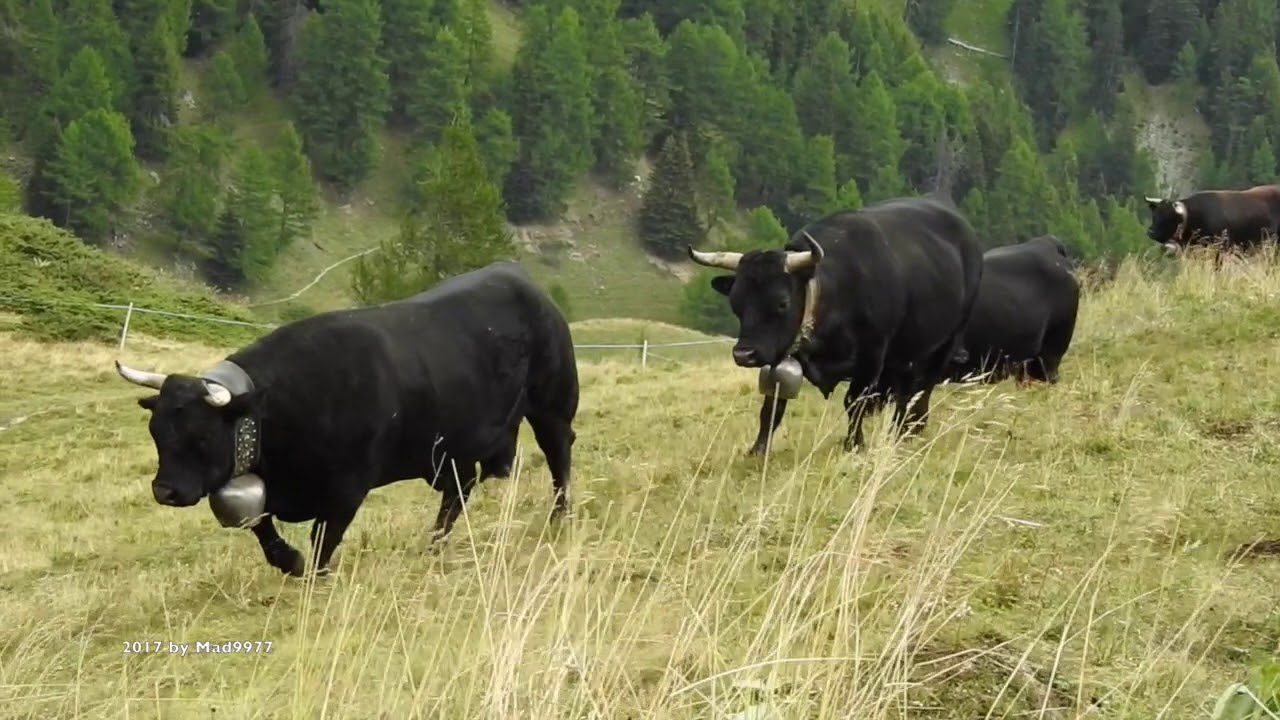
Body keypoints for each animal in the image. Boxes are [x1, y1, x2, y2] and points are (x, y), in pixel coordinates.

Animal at [114, 261, 580, 578]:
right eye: (157, 433)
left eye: (202, 435)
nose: (164, 490)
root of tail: (515, 273)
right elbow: (260, 525)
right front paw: (289, 561)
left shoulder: (346, 489)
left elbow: (324, 539)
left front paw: (314, 575)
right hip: (452, 448)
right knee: (459, 491)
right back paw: (433, 544)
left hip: (553, 407)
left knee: (558, 458)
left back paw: (558, 518)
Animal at [687, 196, 984, 455]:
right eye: (736, 302)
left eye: (782, 302)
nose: (744, 354)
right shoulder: (781, 355)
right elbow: (772, 407)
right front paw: (758, 450)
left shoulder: (872, 356)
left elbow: (854, 402)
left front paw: (854, 445)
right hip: (908, 349)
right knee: (906, 389)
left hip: (947, 340)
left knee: (922, 388)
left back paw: (910, 428)